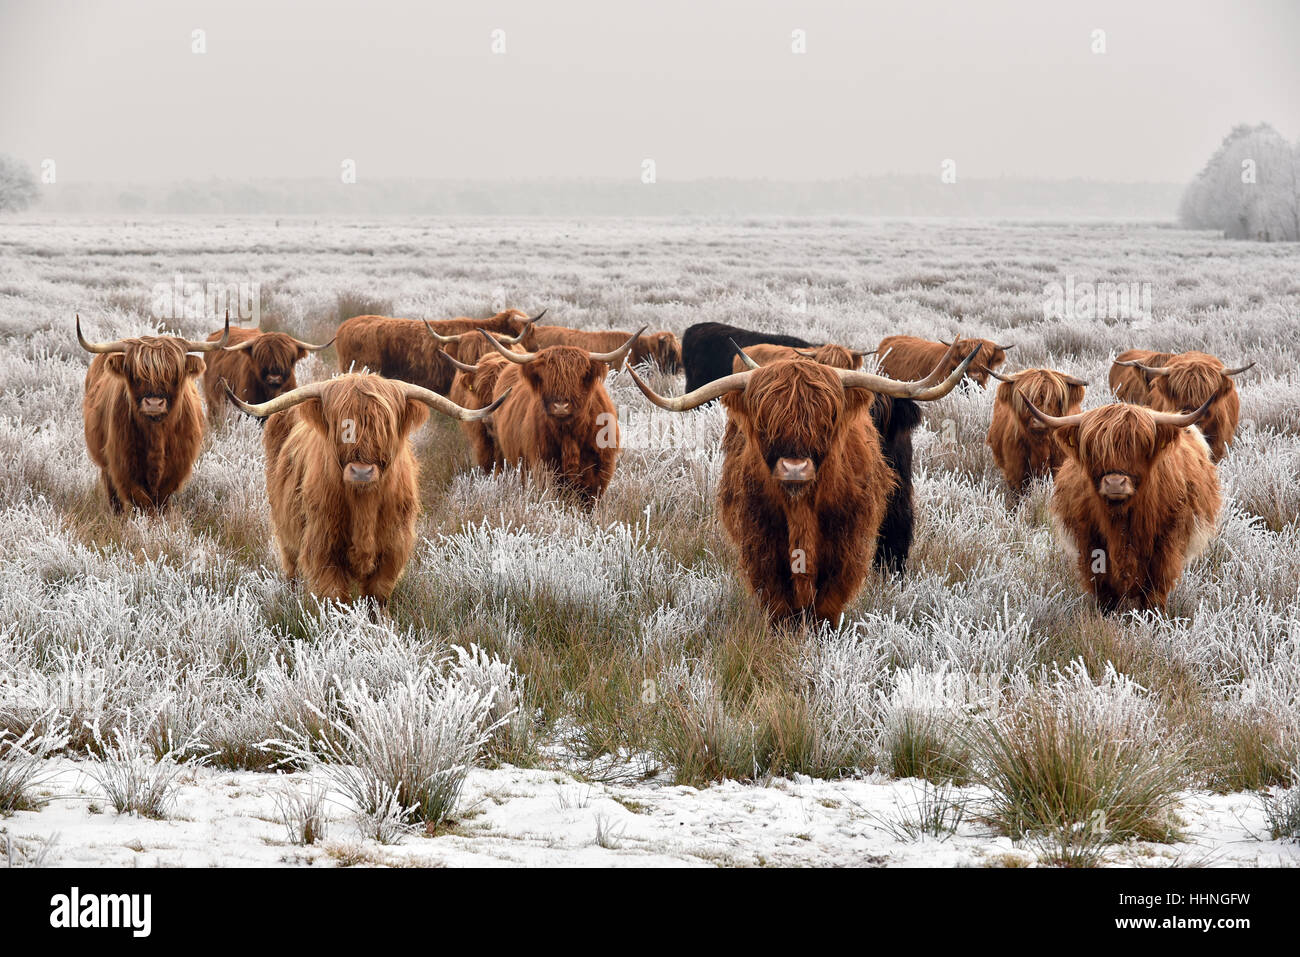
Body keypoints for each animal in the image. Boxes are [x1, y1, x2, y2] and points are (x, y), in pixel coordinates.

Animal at [78, 313, 228, 512]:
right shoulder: (123, 465)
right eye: (136, 374)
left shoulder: (176, 468)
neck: (156, 433)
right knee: (113, 496)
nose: (154, 403)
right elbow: (142, 502)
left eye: (174, 374)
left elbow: (160, 501)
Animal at [226, 373, 507, 605]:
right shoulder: (322, 548)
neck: (363, 505)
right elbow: (336, 599)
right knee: (291, 568)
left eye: (384, 425)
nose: (361, 472)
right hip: (286, 533)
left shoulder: (393, 548)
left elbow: (377, 597)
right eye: (341, 424)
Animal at [476, 328, 642, 505]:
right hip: (502, 452)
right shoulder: (544, 467)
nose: (561, 406)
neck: (569, 435)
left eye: (579, 376)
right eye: (546, 377)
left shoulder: (599, 473)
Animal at [1023, 396, 1221, 614]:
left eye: (1141, 446)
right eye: (1094, 449)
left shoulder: (1166, 543)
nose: (1115, 483)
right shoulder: (1090, 542)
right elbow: (1104, 589)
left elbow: (1155, 590)